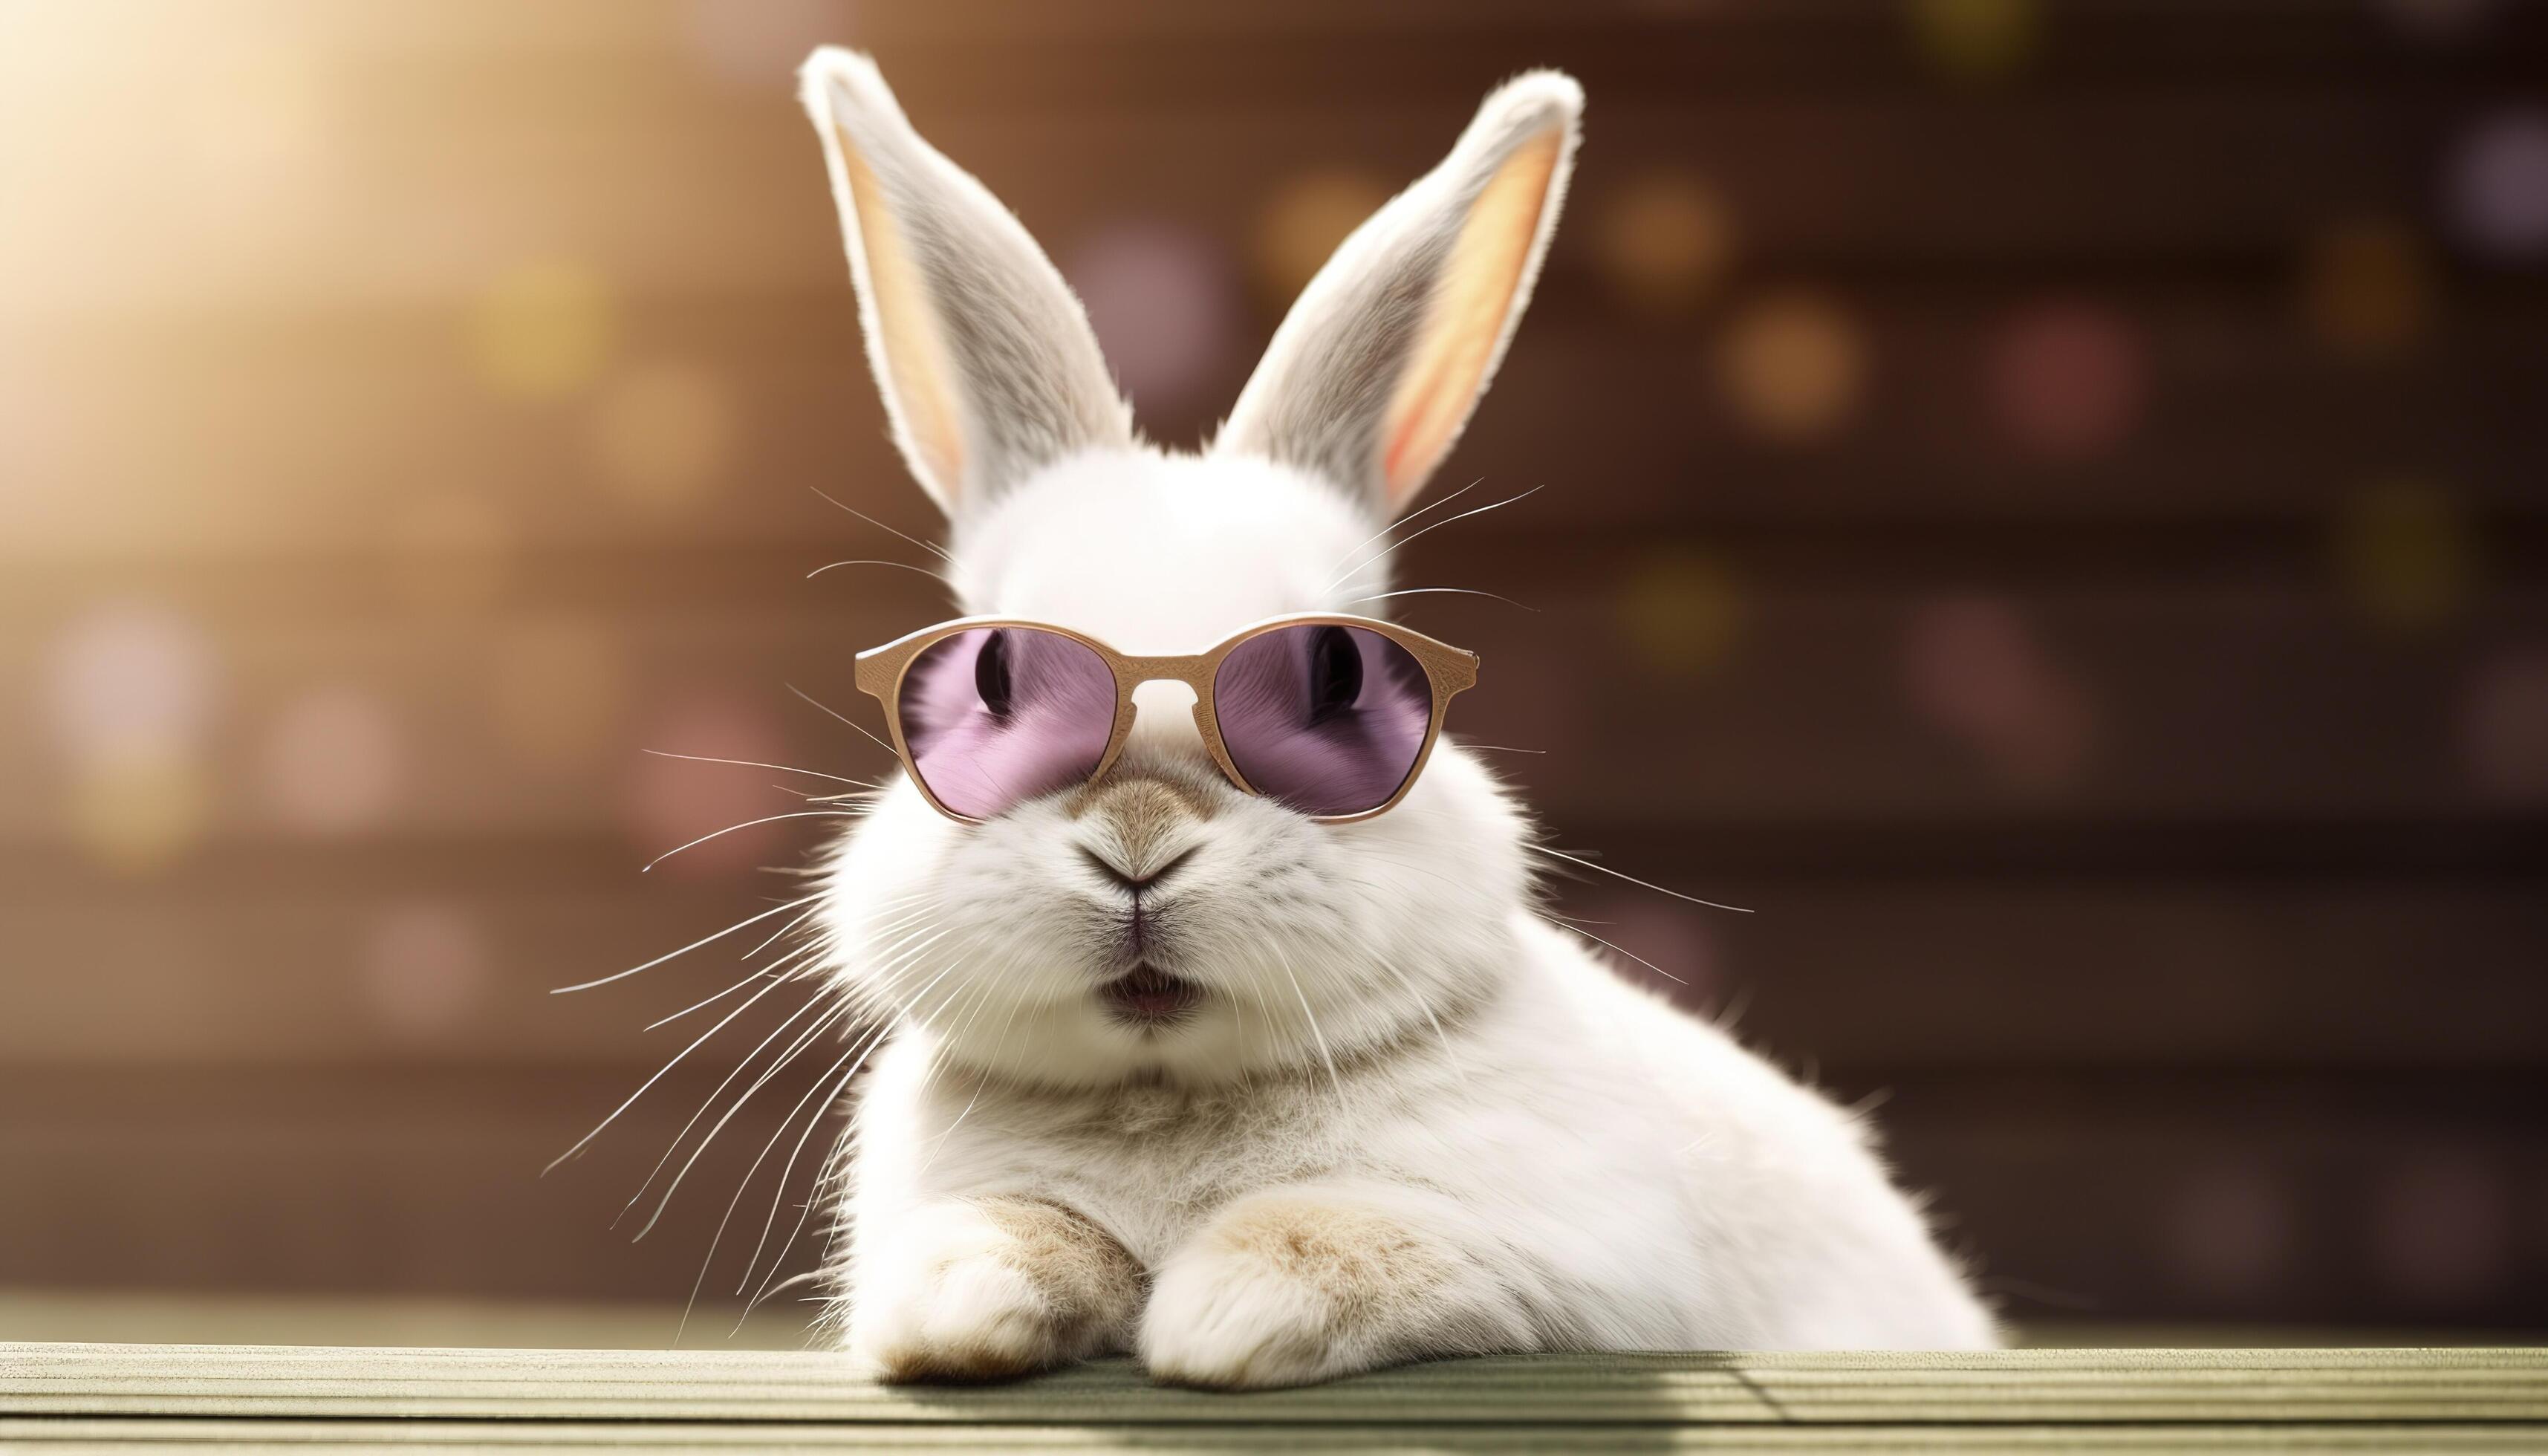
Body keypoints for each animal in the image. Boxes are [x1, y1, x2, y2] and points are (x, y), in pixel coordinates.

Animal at [793, 47, 1998, 1389]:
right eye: (989, 683)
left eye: (1338, 680)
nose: (1139, 843)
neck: (1167, 1094)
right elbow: (1022, 1224)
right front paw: (953, 1311)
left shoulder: (1573, 1254)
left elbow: (1347, 1229)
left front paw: (1219, 1317)